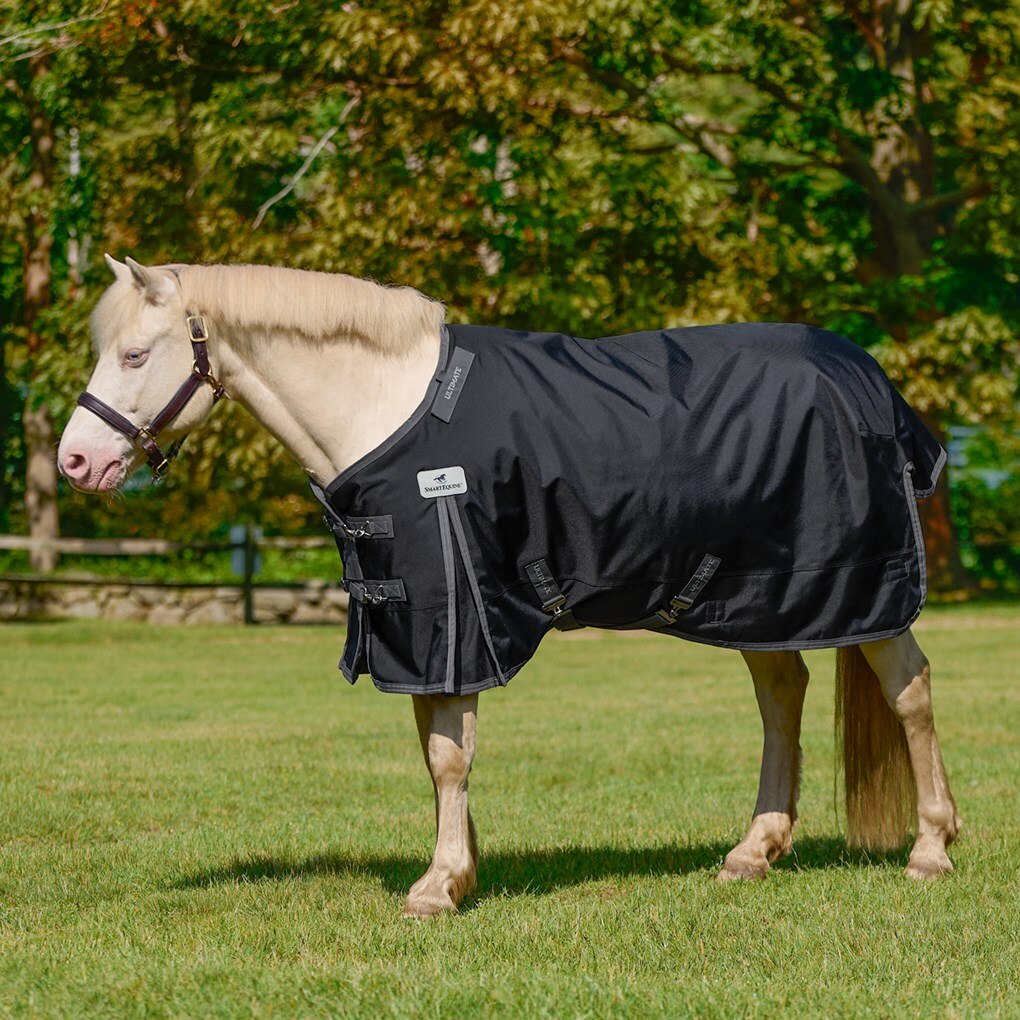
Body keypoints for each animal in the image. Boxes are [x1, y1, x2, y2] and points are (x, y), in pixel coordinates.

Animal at [57, 256, 962, 917]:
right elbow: (431, 747)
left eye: (134, 354)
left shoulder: (457, 612)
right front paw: (461, 867)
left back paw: (931, 849)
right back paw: (752, 852)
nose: (75, 461)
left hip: (861, 595)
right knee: (782, 696)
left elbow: (449, 754)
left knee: (910, 691)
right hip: (758, 599)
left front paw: (437, 887)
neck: (389, 408)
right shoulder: (416, 626)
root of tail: (865, 376)